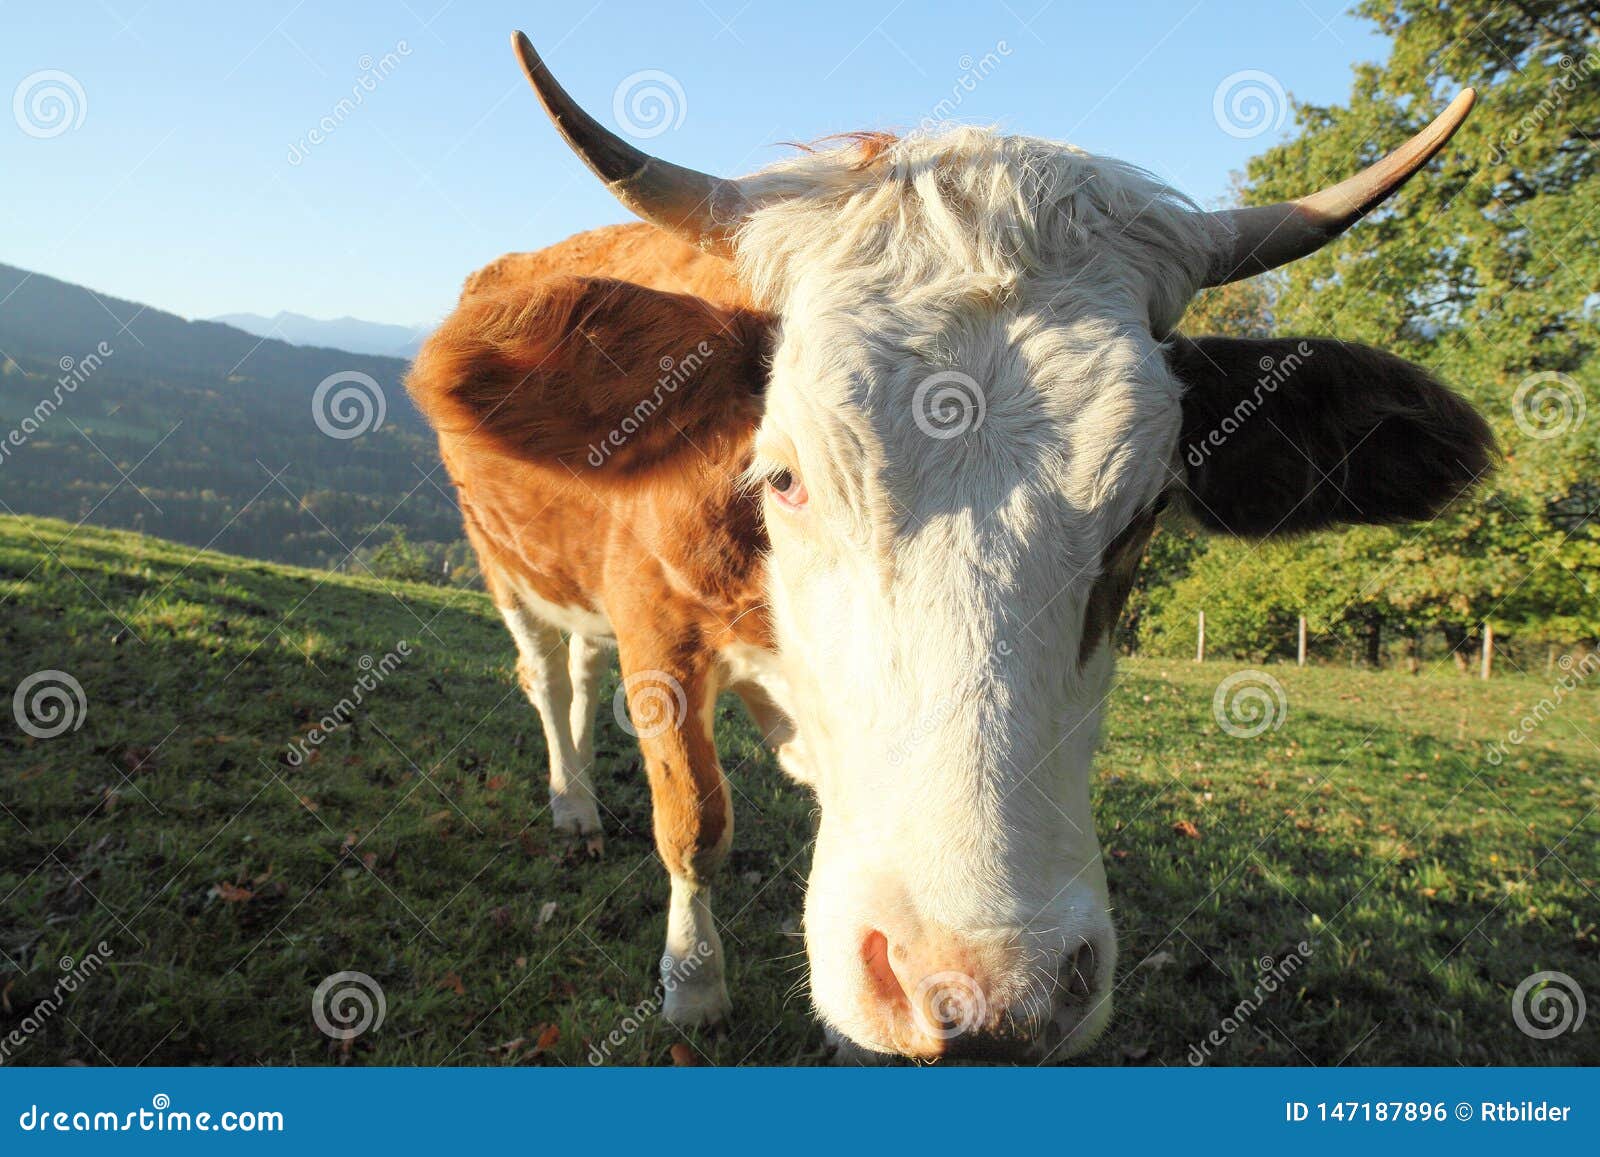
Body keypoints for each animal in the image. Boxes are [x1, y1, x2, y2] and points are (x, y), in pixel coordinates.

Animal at [406, 32, 1494, 1062]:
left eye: (1146, 509)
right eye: (785, 476)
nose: (989, 994)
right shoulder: (655, 624)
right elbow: (694, 820)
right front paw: (694, 985)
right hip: (506, 567)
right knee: (548, 674)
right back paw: (573, 800)